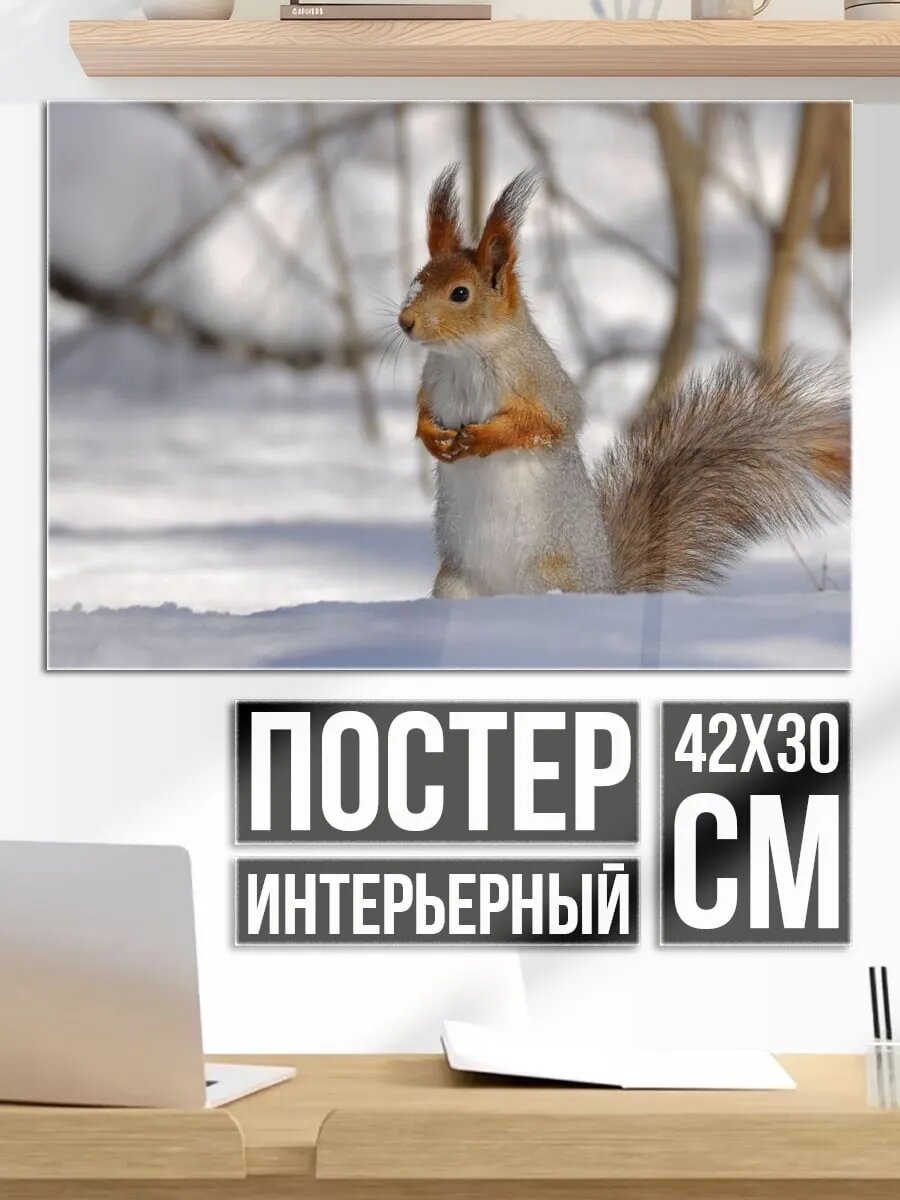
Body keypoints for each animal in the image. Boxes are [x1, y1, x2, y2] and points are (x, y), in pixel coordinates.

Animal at [398, 164, 850, 599]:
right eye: (416, 279)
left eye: (460, 294)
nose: (405, 322)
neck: (464, 356)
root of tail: (609, 587)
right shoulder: (432, 382)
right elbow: (422, 413)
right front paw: (432, 437)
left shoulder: (543, 382)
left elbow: (548, 423)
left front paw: (482, 438)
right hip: (455, 583)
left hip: (547, 575)